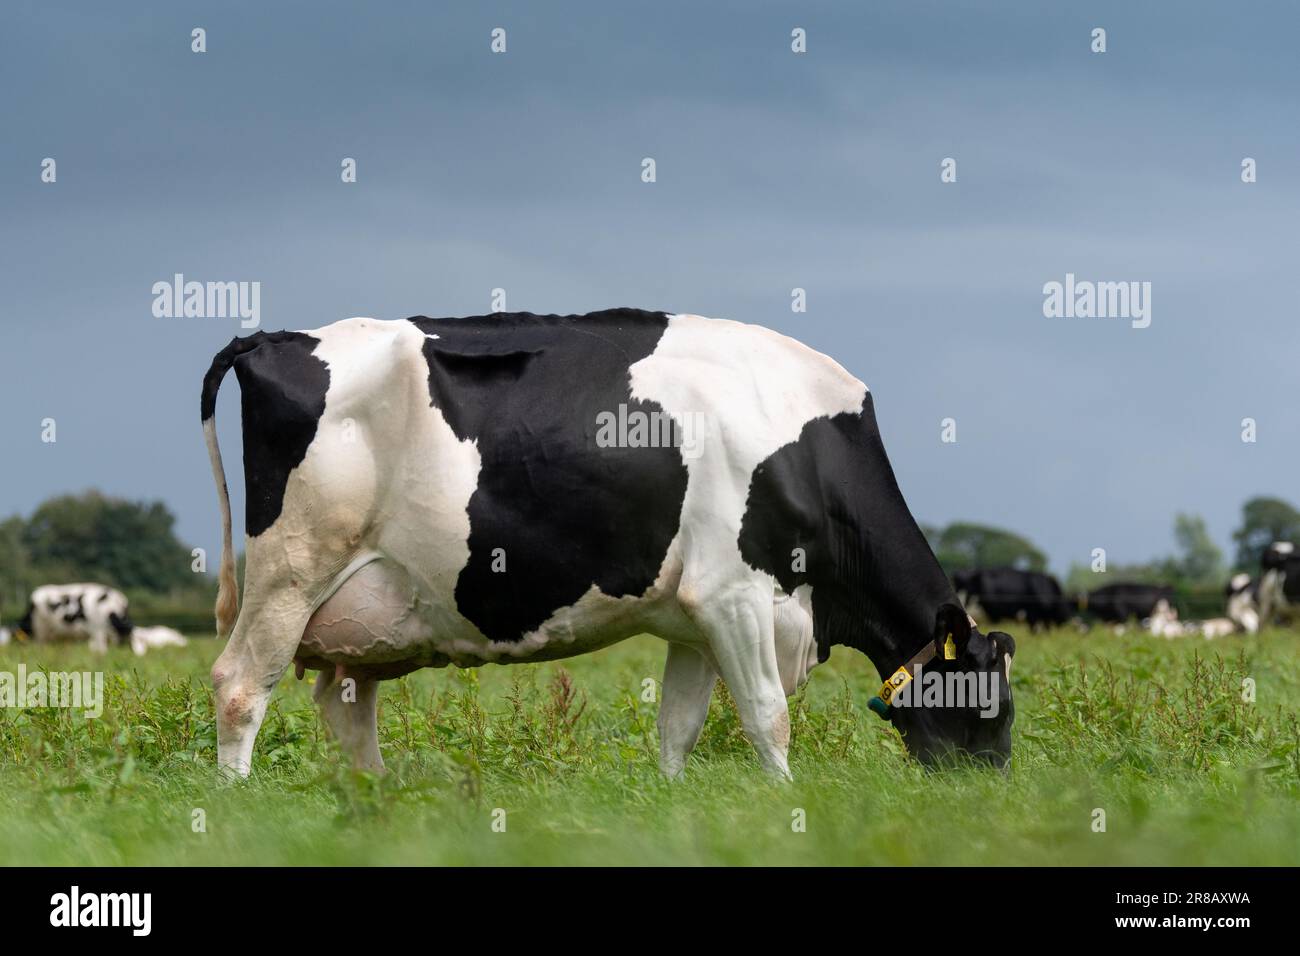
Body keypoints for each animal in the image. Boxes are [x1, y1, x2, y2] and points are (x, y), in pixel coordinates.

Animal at [201, 311, 1016, 778]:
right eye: (989, 705)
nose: (994, 789)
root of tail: (274, 337)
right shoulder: (737, 593)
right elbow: (767, 717)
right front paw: (789, 810)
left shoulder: (695, 618)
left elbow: (679, 731)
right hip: (292, 569)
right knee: (240, 688)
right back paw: (237, 806)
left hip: (364, 610)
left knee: (346, 713)